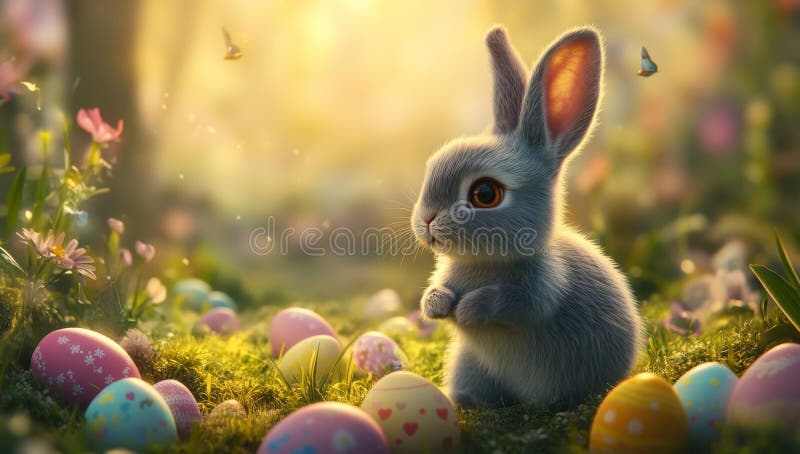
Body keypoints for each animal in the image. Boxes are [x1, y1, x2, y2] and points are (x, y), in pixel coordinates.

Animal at [410, 25, 644, 409]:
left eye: (485, 194)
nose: (427, 219)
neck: (483, 263)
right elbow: (434, 292)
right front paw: (438, 304)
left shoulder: (543, 286)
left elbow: (517, 303)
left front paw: (468, 309)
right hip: (469, 363)